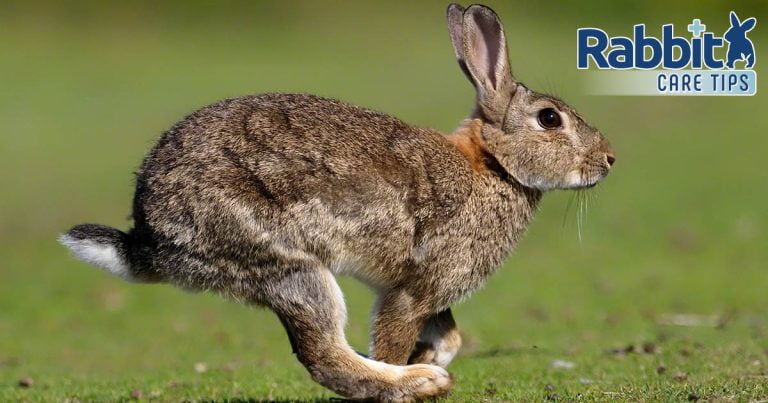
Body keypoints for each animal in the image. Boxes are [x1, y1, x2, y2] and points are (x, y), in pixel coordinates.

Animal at [59, 3, 614, 401]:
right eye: (549, 118)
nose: (609, 160)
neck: (493, 165)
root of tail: (149, 236)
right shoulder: (417, 285)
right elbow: (391, 335)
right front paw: (413, 367)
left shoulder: (426, 289)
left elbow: (451, 336)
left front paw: (429, 354)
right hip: (286, 262)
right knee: (323, 354)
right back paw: (417, 385)